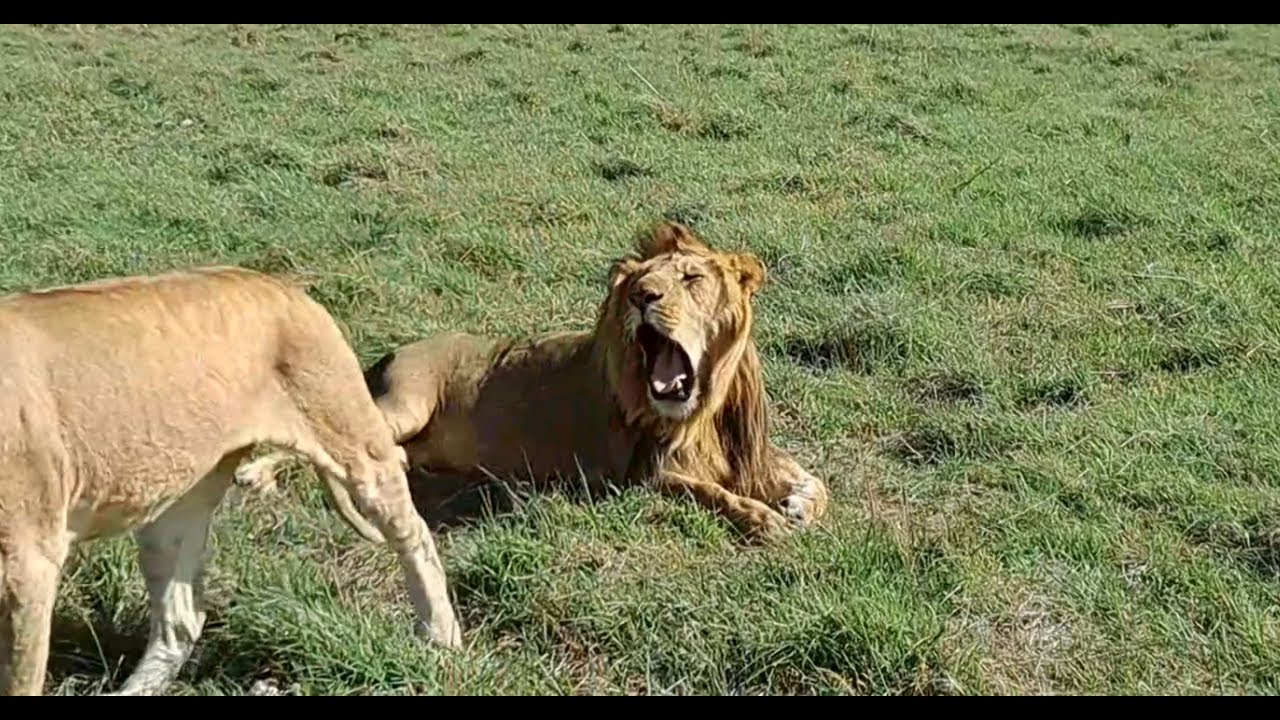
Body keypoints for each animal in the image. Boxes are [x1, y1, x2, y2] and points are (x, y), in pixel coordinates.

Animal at [0, 266, 461, 697]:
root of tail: (277, 283)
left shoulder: (28, 558)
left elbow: (19, 677)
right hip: (177, 499)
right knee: (182, 621)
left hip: (349, 432)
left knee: (414, 531)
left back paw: (441, 635)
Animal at [238, 221, 828, 545]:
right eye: (639, 281)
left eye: (691, 278)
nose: (644, 298)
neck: (705, 408)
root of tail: (396, 350)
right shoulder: (641, 473)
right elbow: (709, 492)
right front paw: (761, 518)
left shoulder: (752, 455)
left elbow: (816, 482)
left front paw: (799, 505)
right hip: (403, 405)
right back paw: (254, 474)